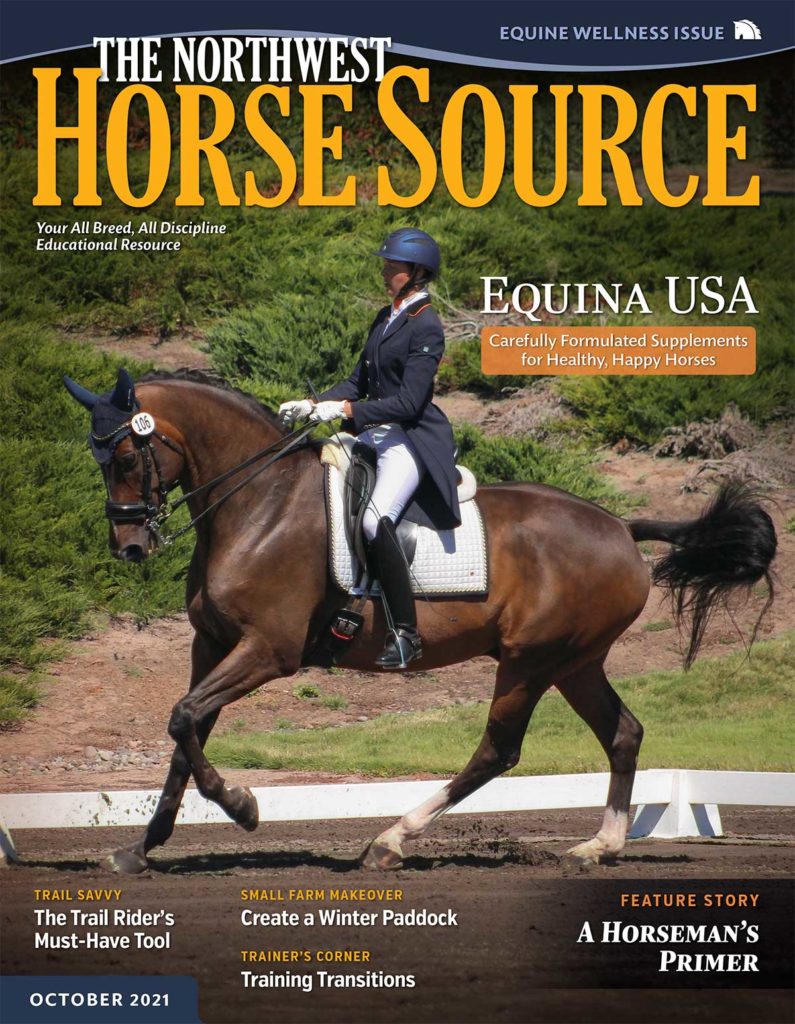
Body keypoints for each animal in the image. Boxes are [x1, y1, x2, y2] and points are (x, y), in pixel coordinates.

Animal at [63, 367, 777, 874]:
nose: (130, 548)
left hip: (531, 660)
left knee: (498, 750)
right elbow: (186, 733)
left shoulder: (268, 650)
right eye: (99, 460)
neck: (260, 505)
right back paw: (598, 848)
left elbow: (184, 718)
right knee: (622, 733)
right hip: (575, 661)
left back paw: (390, 842)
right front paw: (140, 849)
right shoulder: (211, 645)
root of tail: (621, 528)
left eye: (124, 457)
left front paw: (243, 807)